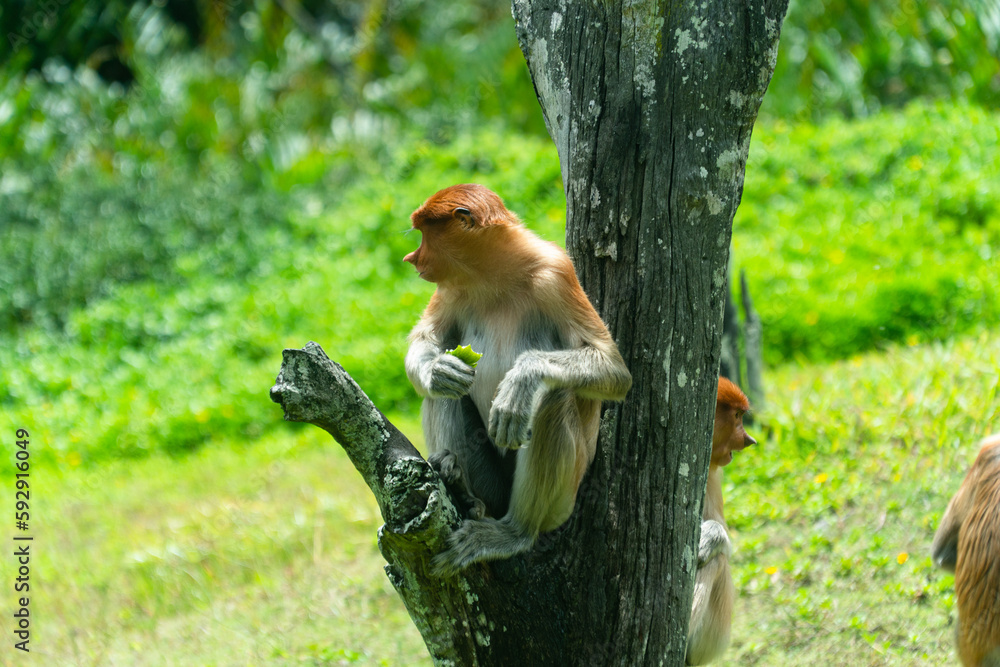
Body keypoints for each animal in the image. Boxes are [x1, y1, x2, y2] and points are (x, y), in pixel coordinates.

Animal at [403, 184, 632, 575]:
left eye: (424, 234)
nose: (411, 258)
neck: (495, 277)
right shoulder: (451, 289)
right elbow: (426, 341)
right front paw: (439, 370)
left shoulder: (555, 274)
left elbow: (613, 369)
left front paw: (521, 383)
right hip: (493, 486)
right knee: (445, 394)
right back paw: (460, 486)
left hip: (563, 501)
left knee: (553, 398)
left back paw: (514, 532)